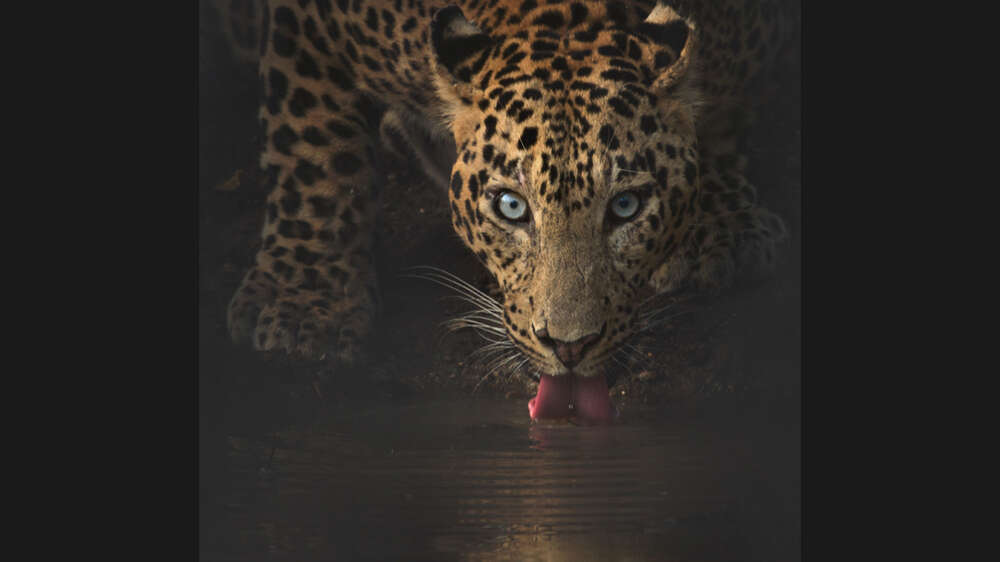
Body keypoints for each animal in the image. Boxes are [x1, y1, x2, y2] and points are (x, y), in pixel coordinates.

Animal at [223, 0, 793, 414]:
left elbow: (723, 114)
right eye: (512, 207)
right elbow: (312, 152)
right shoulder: (311, 30)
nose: (569, 347)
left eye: (626, 206)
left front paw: (726, 228)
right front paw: (301, 307)